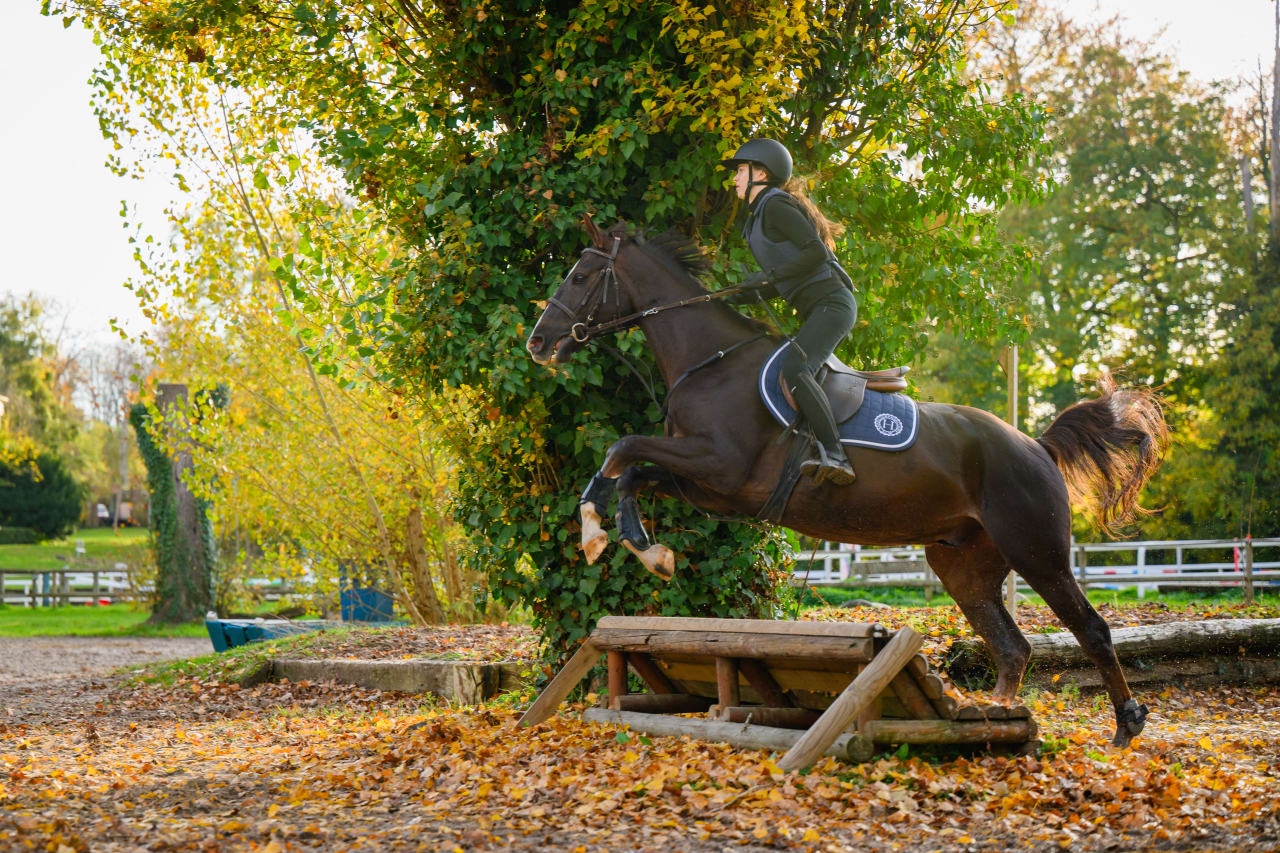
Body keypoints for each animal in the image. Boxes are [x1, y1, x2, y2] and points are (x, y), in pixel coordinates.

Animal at [525, 218, 1169, 747]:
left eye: (580, 274)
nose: (537, 342)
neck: (711, 364)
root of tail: (1034, 446)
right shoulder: (715, 489)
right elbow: (631, 469)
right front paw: (627, 541)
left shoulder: (720, 467)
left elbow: (623, 448)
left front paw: (610, 534)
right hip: (963, 563)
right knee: (1011, 645)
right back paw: (994, 717)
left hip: (1035, 548)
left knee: (1091, 628)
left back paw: (1127, 723)